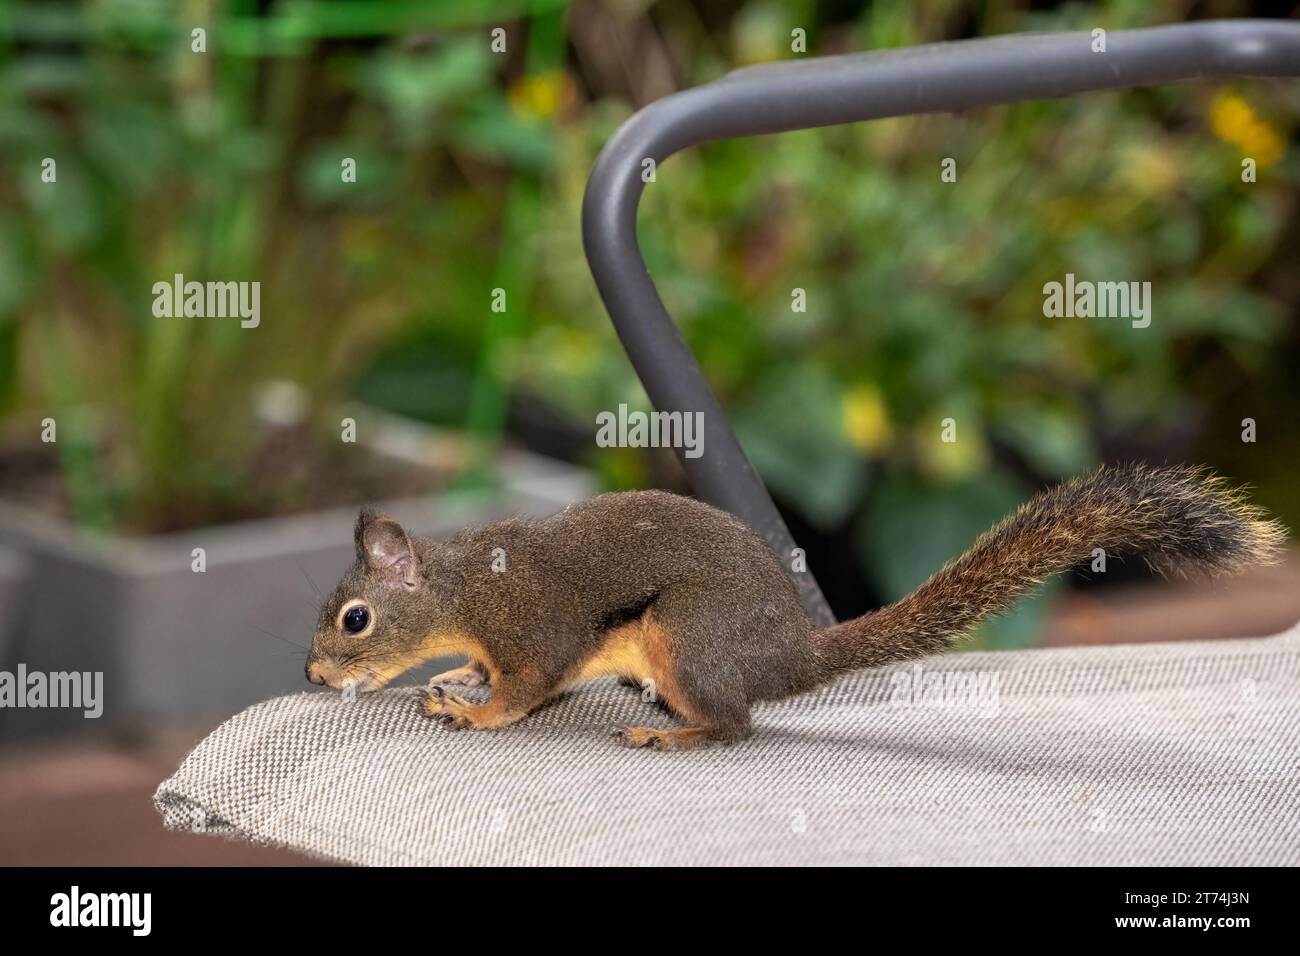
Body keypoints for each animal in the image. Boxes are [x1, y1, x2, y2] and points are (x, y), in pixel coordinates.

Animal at [306, 463, 1285, 751]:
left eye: (354, 619)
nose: (312, 676)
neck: (461, 587)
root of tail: (793, 656)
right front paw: (460, 680)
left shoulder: (533, 628)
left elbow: (527, 690)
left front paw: (474, 709)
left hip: (687, 637)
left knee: (738, 724)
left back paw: (676, 735)